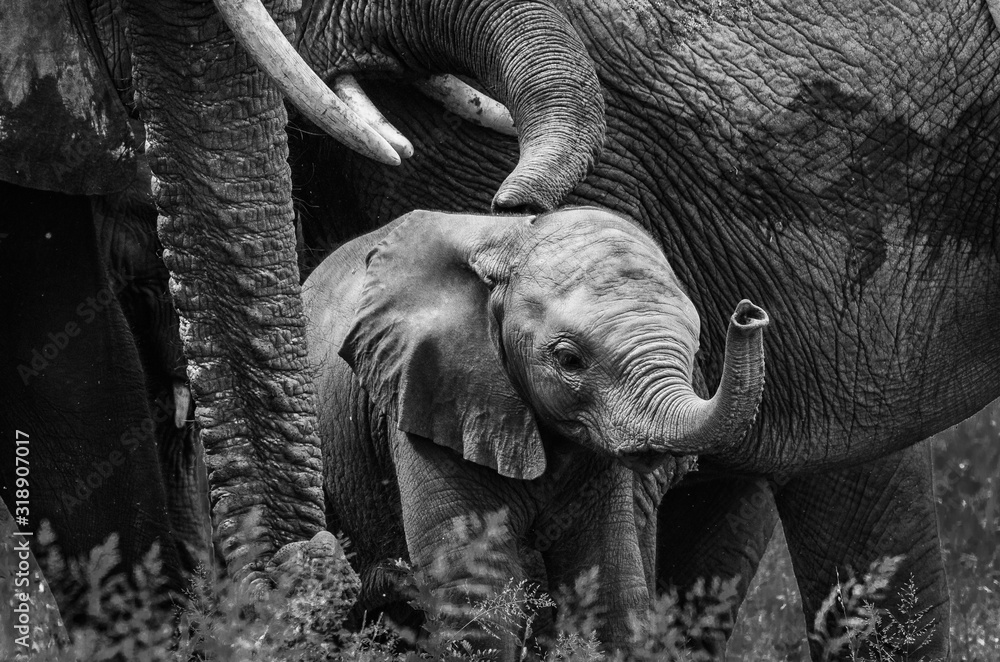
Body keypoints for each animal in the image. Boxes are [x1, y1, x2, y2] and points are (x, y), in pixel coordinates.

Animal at [302, 206, 769, 656]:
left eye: (694, 350)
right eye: (569, 359)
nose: (749, 313)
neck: (510, 239)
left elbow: (608, 582)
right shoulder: (429, 395)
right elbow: (474, 590)